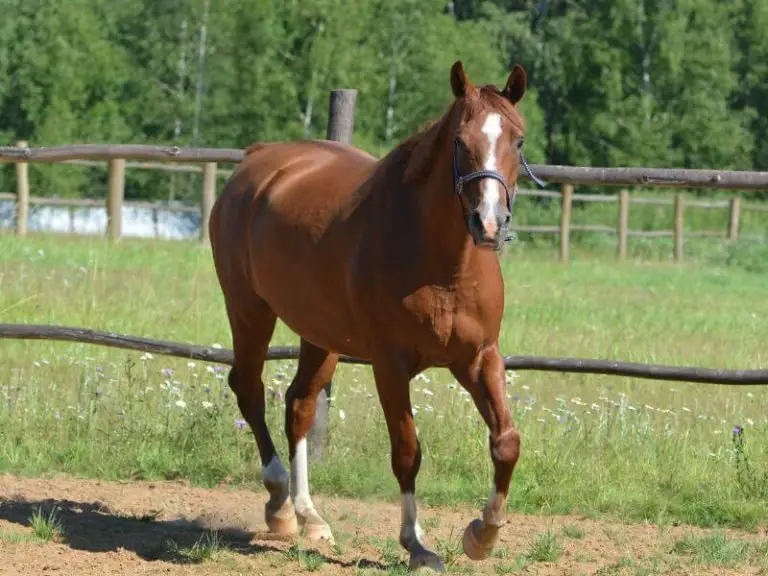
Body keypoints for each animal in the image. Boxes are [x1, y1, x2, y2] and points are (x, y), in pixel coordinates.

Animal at [209, 60, 542, 572]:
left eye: (518, 140)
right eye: (459, 141)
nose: (489, 224)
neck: (443, 266)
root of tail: (259, 159)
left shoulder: (479, 358)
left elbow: (506, 442)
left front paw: (482, 535)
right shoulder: (390, 365)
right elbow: (407, 452)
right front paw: (417, 545)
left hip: (320, 335)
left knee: (299, 405)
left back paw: (311, 517)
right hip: (248, 310)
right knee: (249, 389)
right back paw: (280, 505)